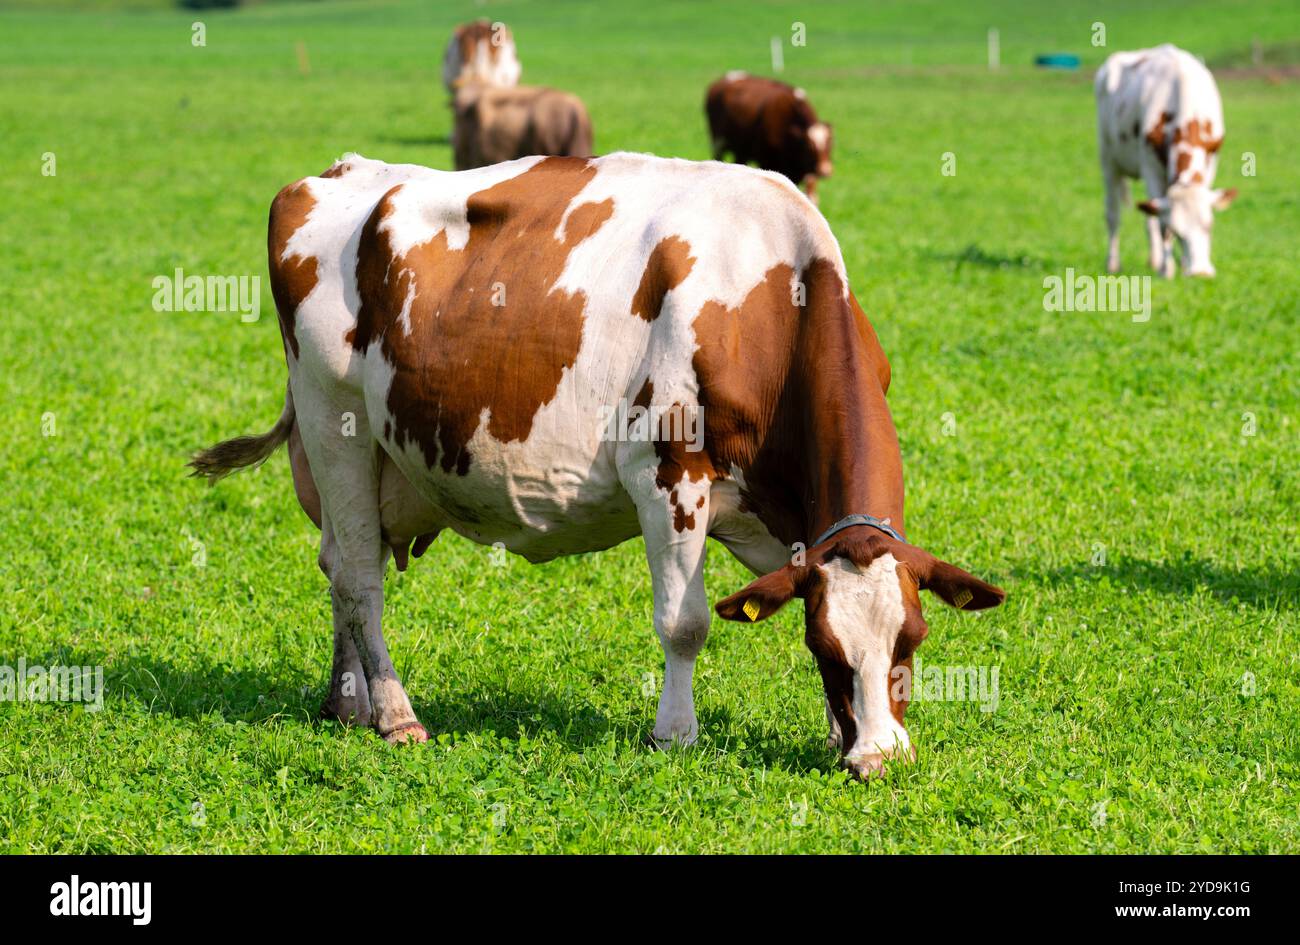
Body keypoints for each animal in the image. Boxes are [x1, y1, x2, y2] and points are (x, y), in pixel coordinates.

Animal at [190, 152, 1004, 780]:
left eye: (912, 640)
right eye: (828, 648)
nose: (881, 759)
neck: (770, 295)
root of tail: (337, 173)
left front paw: (840, 731)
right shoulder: (668, 476)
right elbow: (685, 623)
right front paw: (674, 734)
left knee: (338, 566)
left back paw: (346, 702)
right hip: (337, 427)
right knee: (360, 578)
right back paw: (394, 714)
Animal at [705, 71, 833, 204]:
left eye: (830, 144)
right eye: (808, 146)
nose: (825, 170)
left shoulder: (808, 170)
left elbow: (812, 197)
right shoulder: (767, 160)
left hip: (741, 150)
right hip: (717, 142)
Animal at [1095, 44, 1238, 278]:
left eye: (1209, 226)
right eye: (1178, 232)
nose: (1200, 273)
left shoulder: (1210, 162)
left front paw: (1182, 264)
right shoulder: (1150, 168)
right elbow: (1161, 225)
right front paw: (1167, 269)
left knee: (1149, 218)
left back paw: (1153, 260)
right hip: (1108, 160)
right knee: (1114, 214)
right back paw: (1114, 263)